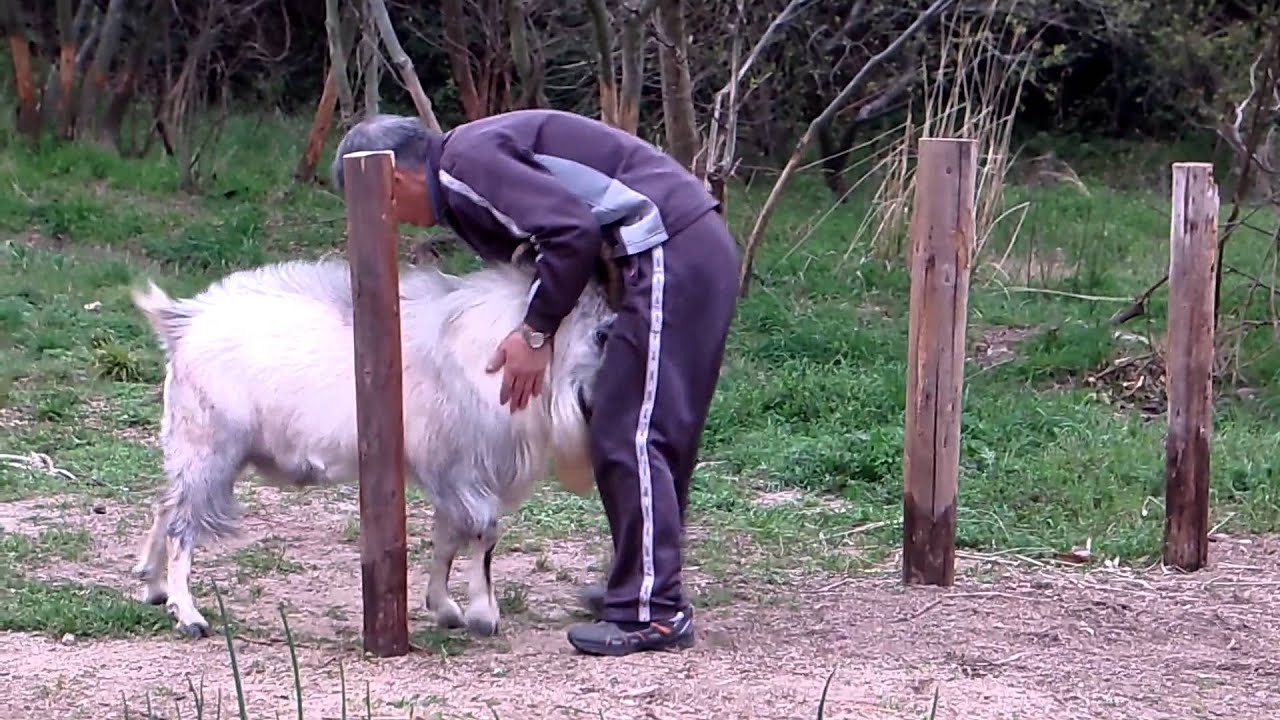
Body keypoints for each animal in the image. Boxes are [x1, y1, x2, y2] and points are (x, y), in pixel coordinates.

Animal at [128, 257, 614, 639]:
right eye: (602, 334)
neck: (482, 352)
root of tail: (180, 323)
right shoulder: (460, 468)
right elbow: (482, 533)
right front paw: (483, 616)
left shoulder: (450, 473)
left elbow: (447, 536)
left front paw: (445, 608)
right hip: (210, 447)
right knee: (182, 525)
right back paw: (188, 614)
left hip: (193, 448)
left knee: (165, 504)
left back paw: (153, 587)